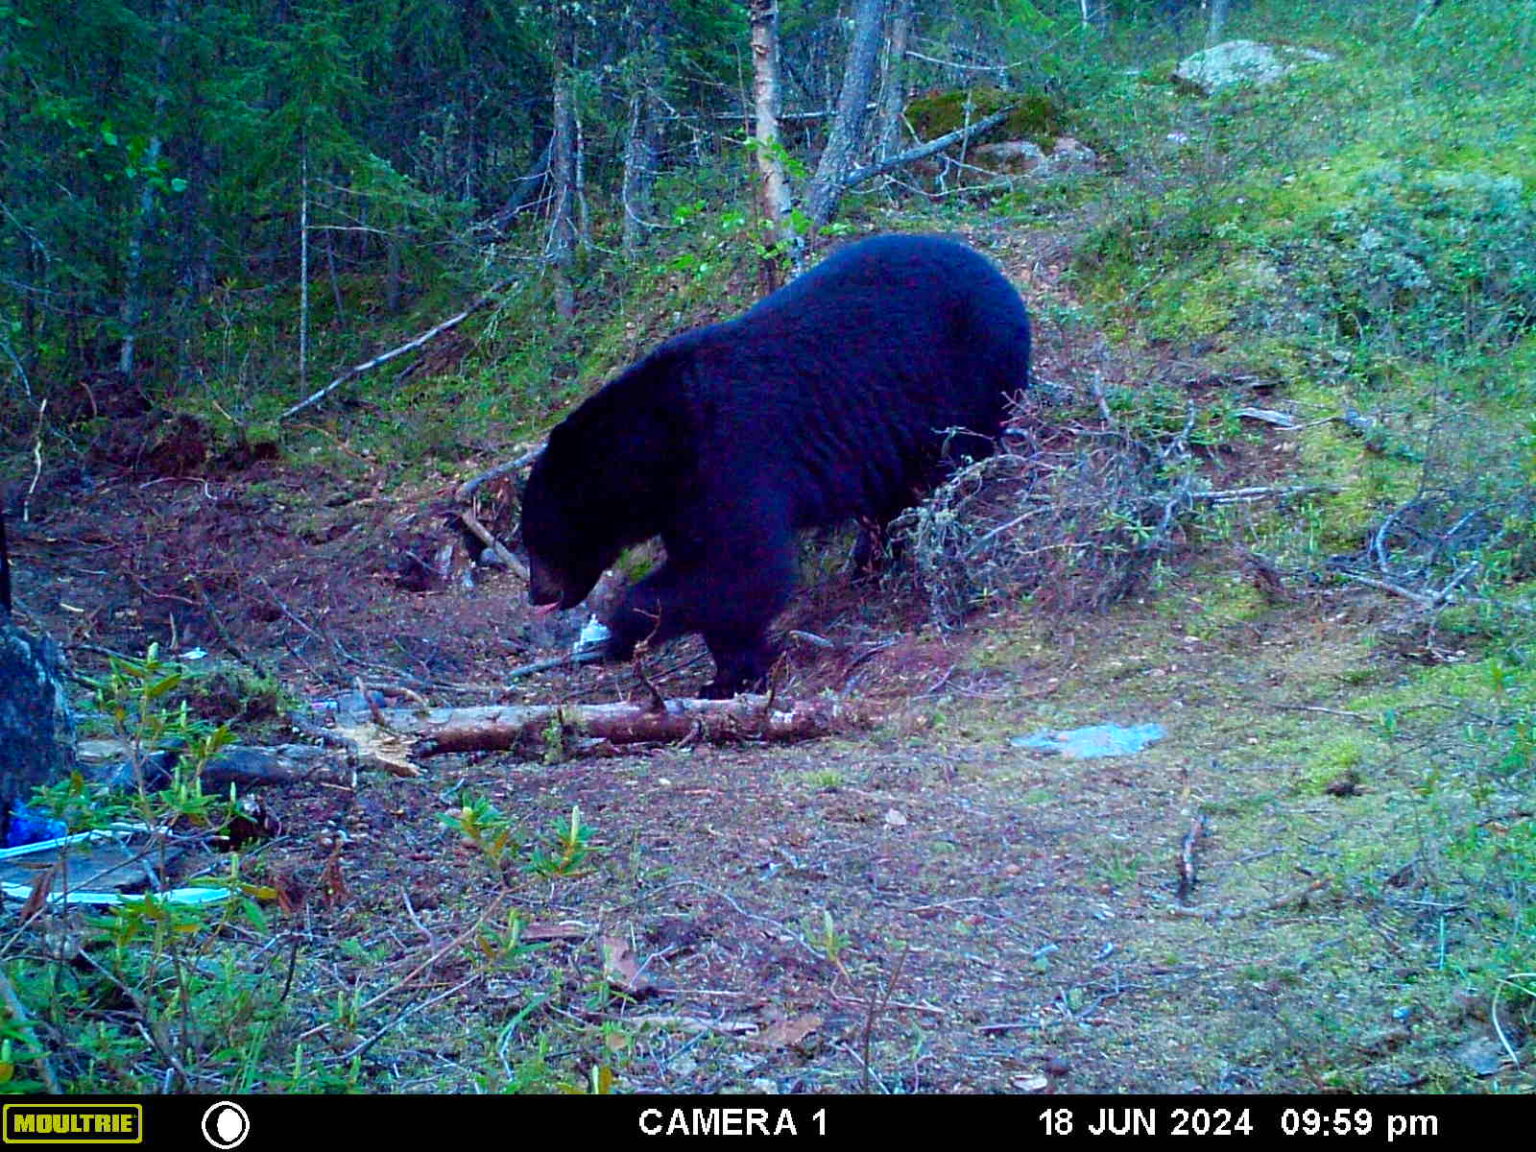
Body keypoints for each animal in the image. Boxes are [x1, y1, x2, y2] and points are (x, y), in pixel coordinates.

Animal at [519, 234, 1032, 698]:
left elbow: (741, 566)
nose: (537, 595)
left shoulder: (729, 459)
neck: (660, 443)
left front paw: (621, 630)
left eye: (537, 541)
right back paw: (869, 560)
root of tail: (999, 276)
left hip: (968, 375)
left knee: (953, 460)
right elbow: (719, 574)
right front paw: (727, 673)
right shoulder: (683, 503)